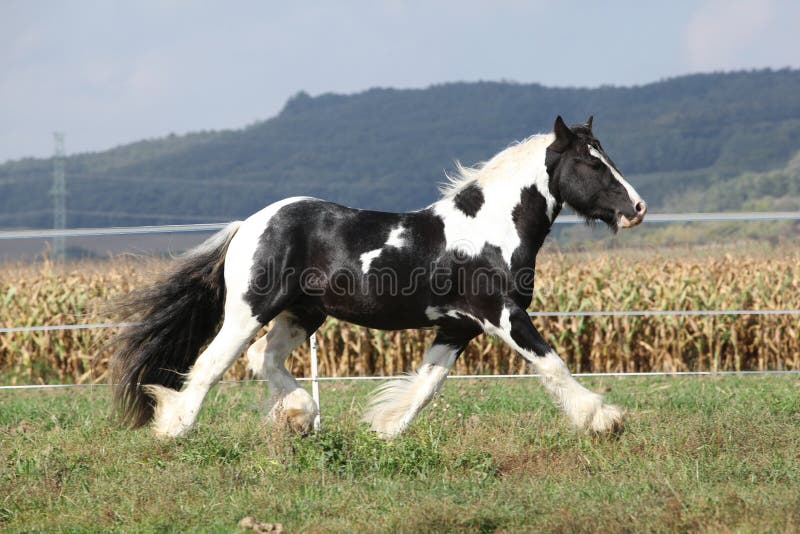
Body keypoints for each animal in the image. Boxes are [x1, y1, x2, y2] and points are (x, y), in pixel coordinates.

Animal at [110, 115, 647, 439]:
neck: (488, 230)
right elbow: (552, 363)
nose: (637, 208)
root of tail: (249, 224)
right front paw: (604, 418)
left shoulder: (457, 327)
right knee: (212, 365)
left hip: (304, 314)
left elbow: (426, 386)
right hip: (248, 311)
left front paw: (383, 431)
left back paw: (300, 416)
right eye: (589, 163)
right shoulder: (500, 315)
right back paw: (176, 429)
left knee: (263, 358)